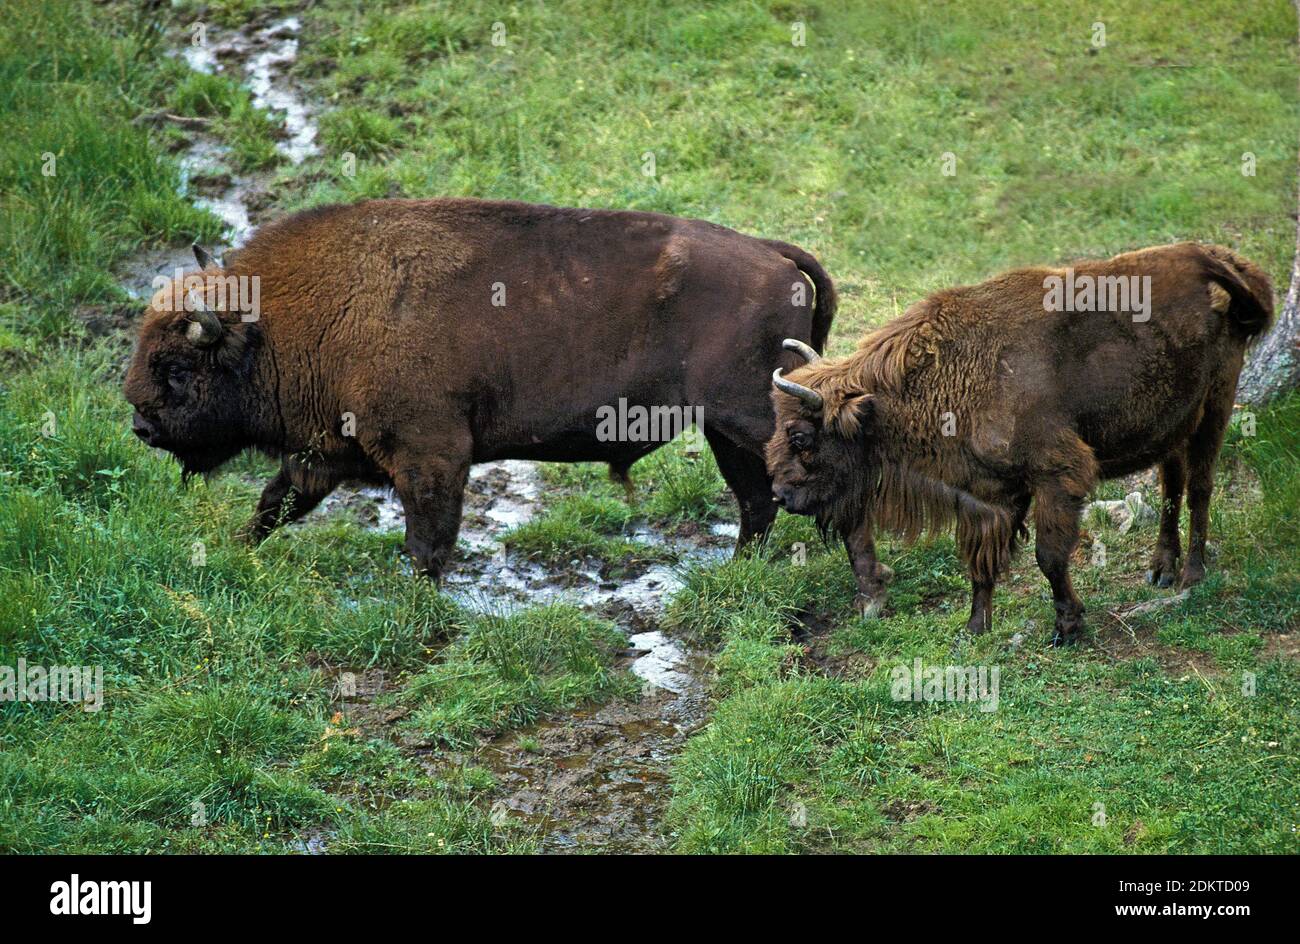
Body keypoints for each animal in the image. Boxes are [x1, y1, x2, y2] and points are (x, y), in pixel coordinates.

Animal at [125, 198, 835, 578]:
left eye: (179, 369)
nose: (141, 425)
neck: (275, 324)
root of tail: (773, 255)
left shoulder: (430, 455)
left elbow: (427, 539)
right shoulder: (320, 454)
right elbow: (274, 504)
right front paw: (233, 555)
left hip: (748, 417)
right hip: (723, 429)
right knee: (756, 500)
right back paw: (741, 572)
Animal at [767, 243, 1272, 644]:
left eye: (801, 435)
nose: (781, 495)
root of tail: (1216, 259)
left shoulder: (1058, 476)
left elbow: (1049, 557)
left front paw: (1067, 627)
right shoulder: (988, 495)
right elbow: (980, 563)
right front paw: (973, 629)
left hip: (1216, 403)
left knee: (1200, 487)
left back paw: (1191, 575)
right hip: (1172, 424)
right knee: (1172, 484)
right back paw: (1161, 570)